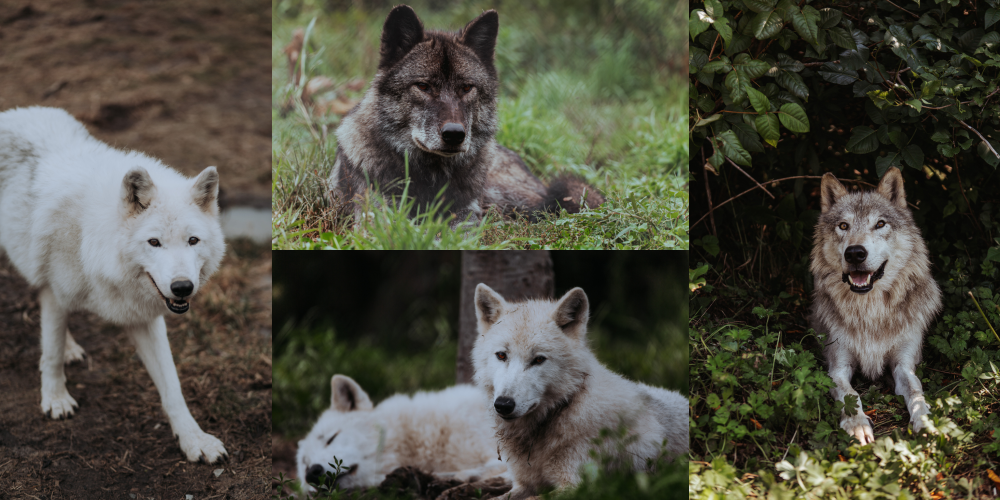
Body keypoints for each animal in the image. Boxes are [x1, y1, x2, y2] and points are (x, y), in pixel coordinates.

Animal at [0, 106, 227, 463]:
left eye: (193, 240)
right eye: (154, 242)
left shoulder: (144, 318)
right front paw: (55, 399)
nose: (182, 287)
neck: (92, 237)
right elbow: (50, 352)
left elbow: (173, 388)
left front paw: (194, 439)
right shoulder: (55, 292)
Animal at [326, 5, 603, 230]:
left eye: (467, 88)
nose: (454, 135)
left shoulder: (465, 216)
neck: (430, 178)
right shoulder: (376, 217)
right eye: (424, 86)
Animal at [810, 166, 942, 445]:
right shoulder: (837, 368)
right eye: (843, 225)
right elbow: (850, 395)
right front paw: (857, 424)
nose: (855, 253)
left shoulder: (904, 364)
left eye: (880, 224)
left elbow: (916, 391)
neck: (870, 310)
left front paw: (924, 419)